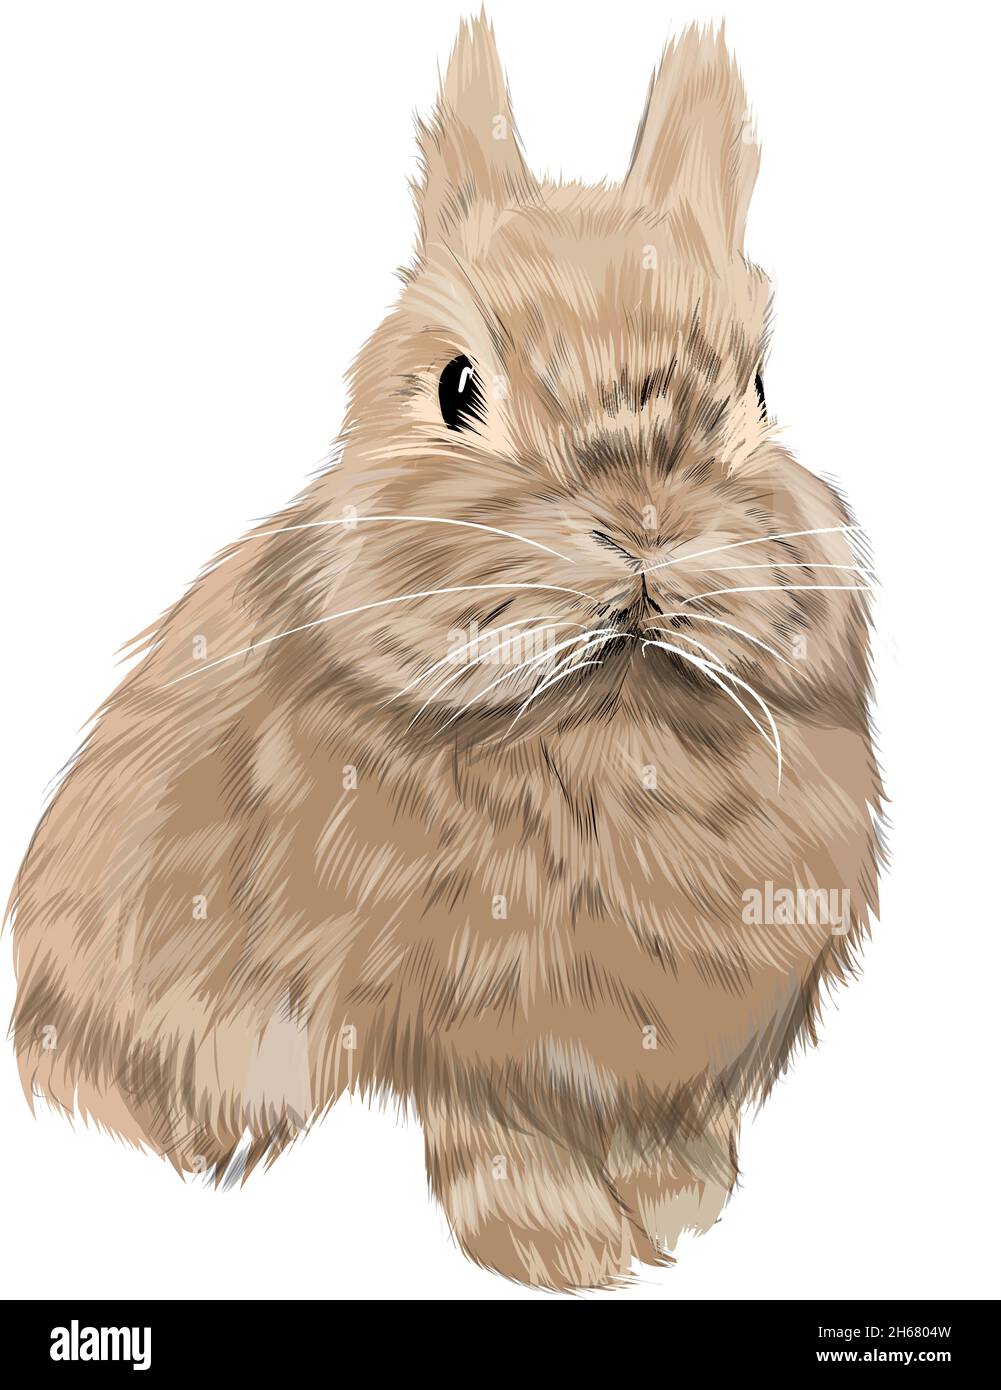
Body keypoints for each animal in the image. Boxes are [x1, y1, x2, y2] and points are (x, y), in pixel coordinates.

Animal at [7, 14, 886, 1290]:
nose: (641, 522)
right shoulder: (474, 1040)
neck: (607, 717)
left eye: (759, 387)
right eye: (455, 383)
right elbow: (504, 1141)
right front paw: (571, 1251)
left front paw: (681, 1212)